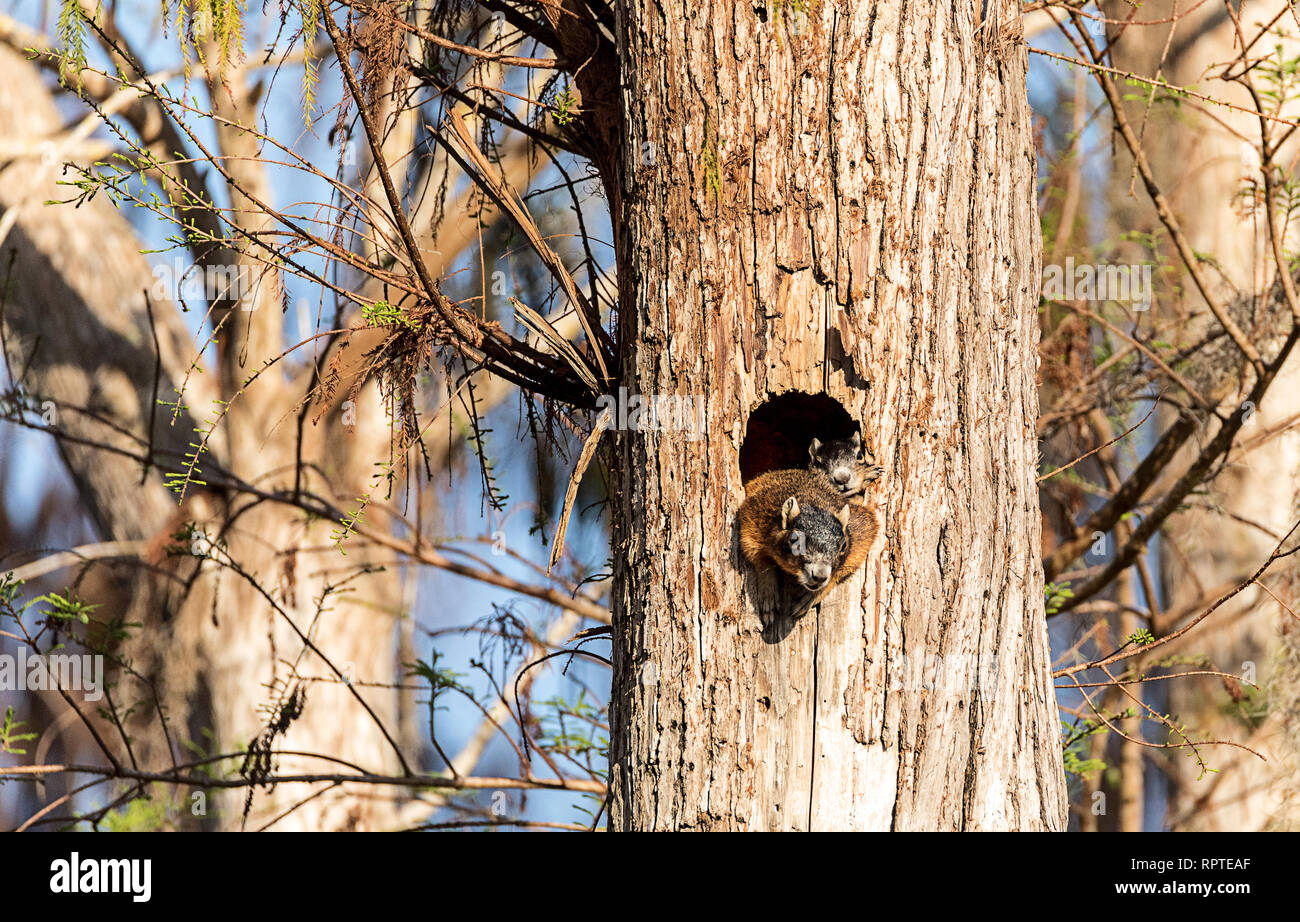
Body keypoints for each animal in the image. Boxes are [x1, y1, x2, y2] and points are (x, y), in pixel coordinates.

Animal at [739, 467, 878, 616]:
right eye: (794, 539)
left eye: (844, 546)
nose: (820, 576)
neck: (814, 500)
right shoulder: (756, 513)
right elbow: (758, 556)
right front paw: (768, 590)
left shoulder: (862, 528)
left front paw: (812, 595)